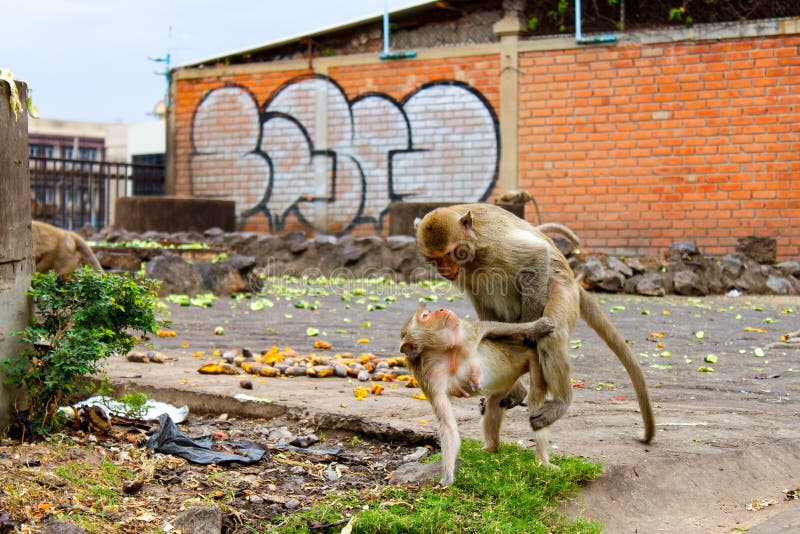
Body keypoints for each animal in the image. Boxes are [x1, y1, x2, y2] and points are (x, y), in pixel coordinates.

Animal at [400, 305, 556, 486]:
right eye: (425, 316)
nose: (441, 308)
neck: (446, 354)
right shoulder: (430, 381)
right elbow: (448, 426)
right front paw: (447, 479)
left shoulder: (466, 335)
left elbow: (490, 327)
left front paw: (539, 326)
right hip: (506, 379)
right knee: (495, 404)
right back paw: (491, 447)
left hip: (531, 358)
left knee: (535, 398)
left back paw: (542, 461)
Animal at [415, 203, 655, 443]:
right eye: (434, 259)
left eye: (454, 253)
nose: (444, 271)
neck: (474, 254)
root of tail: (574, 281)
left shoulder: (495, 245)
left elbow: (536, 257)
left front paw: (531, 334)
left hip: (561, 289)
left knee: (551, 335)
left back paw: (560, 401)